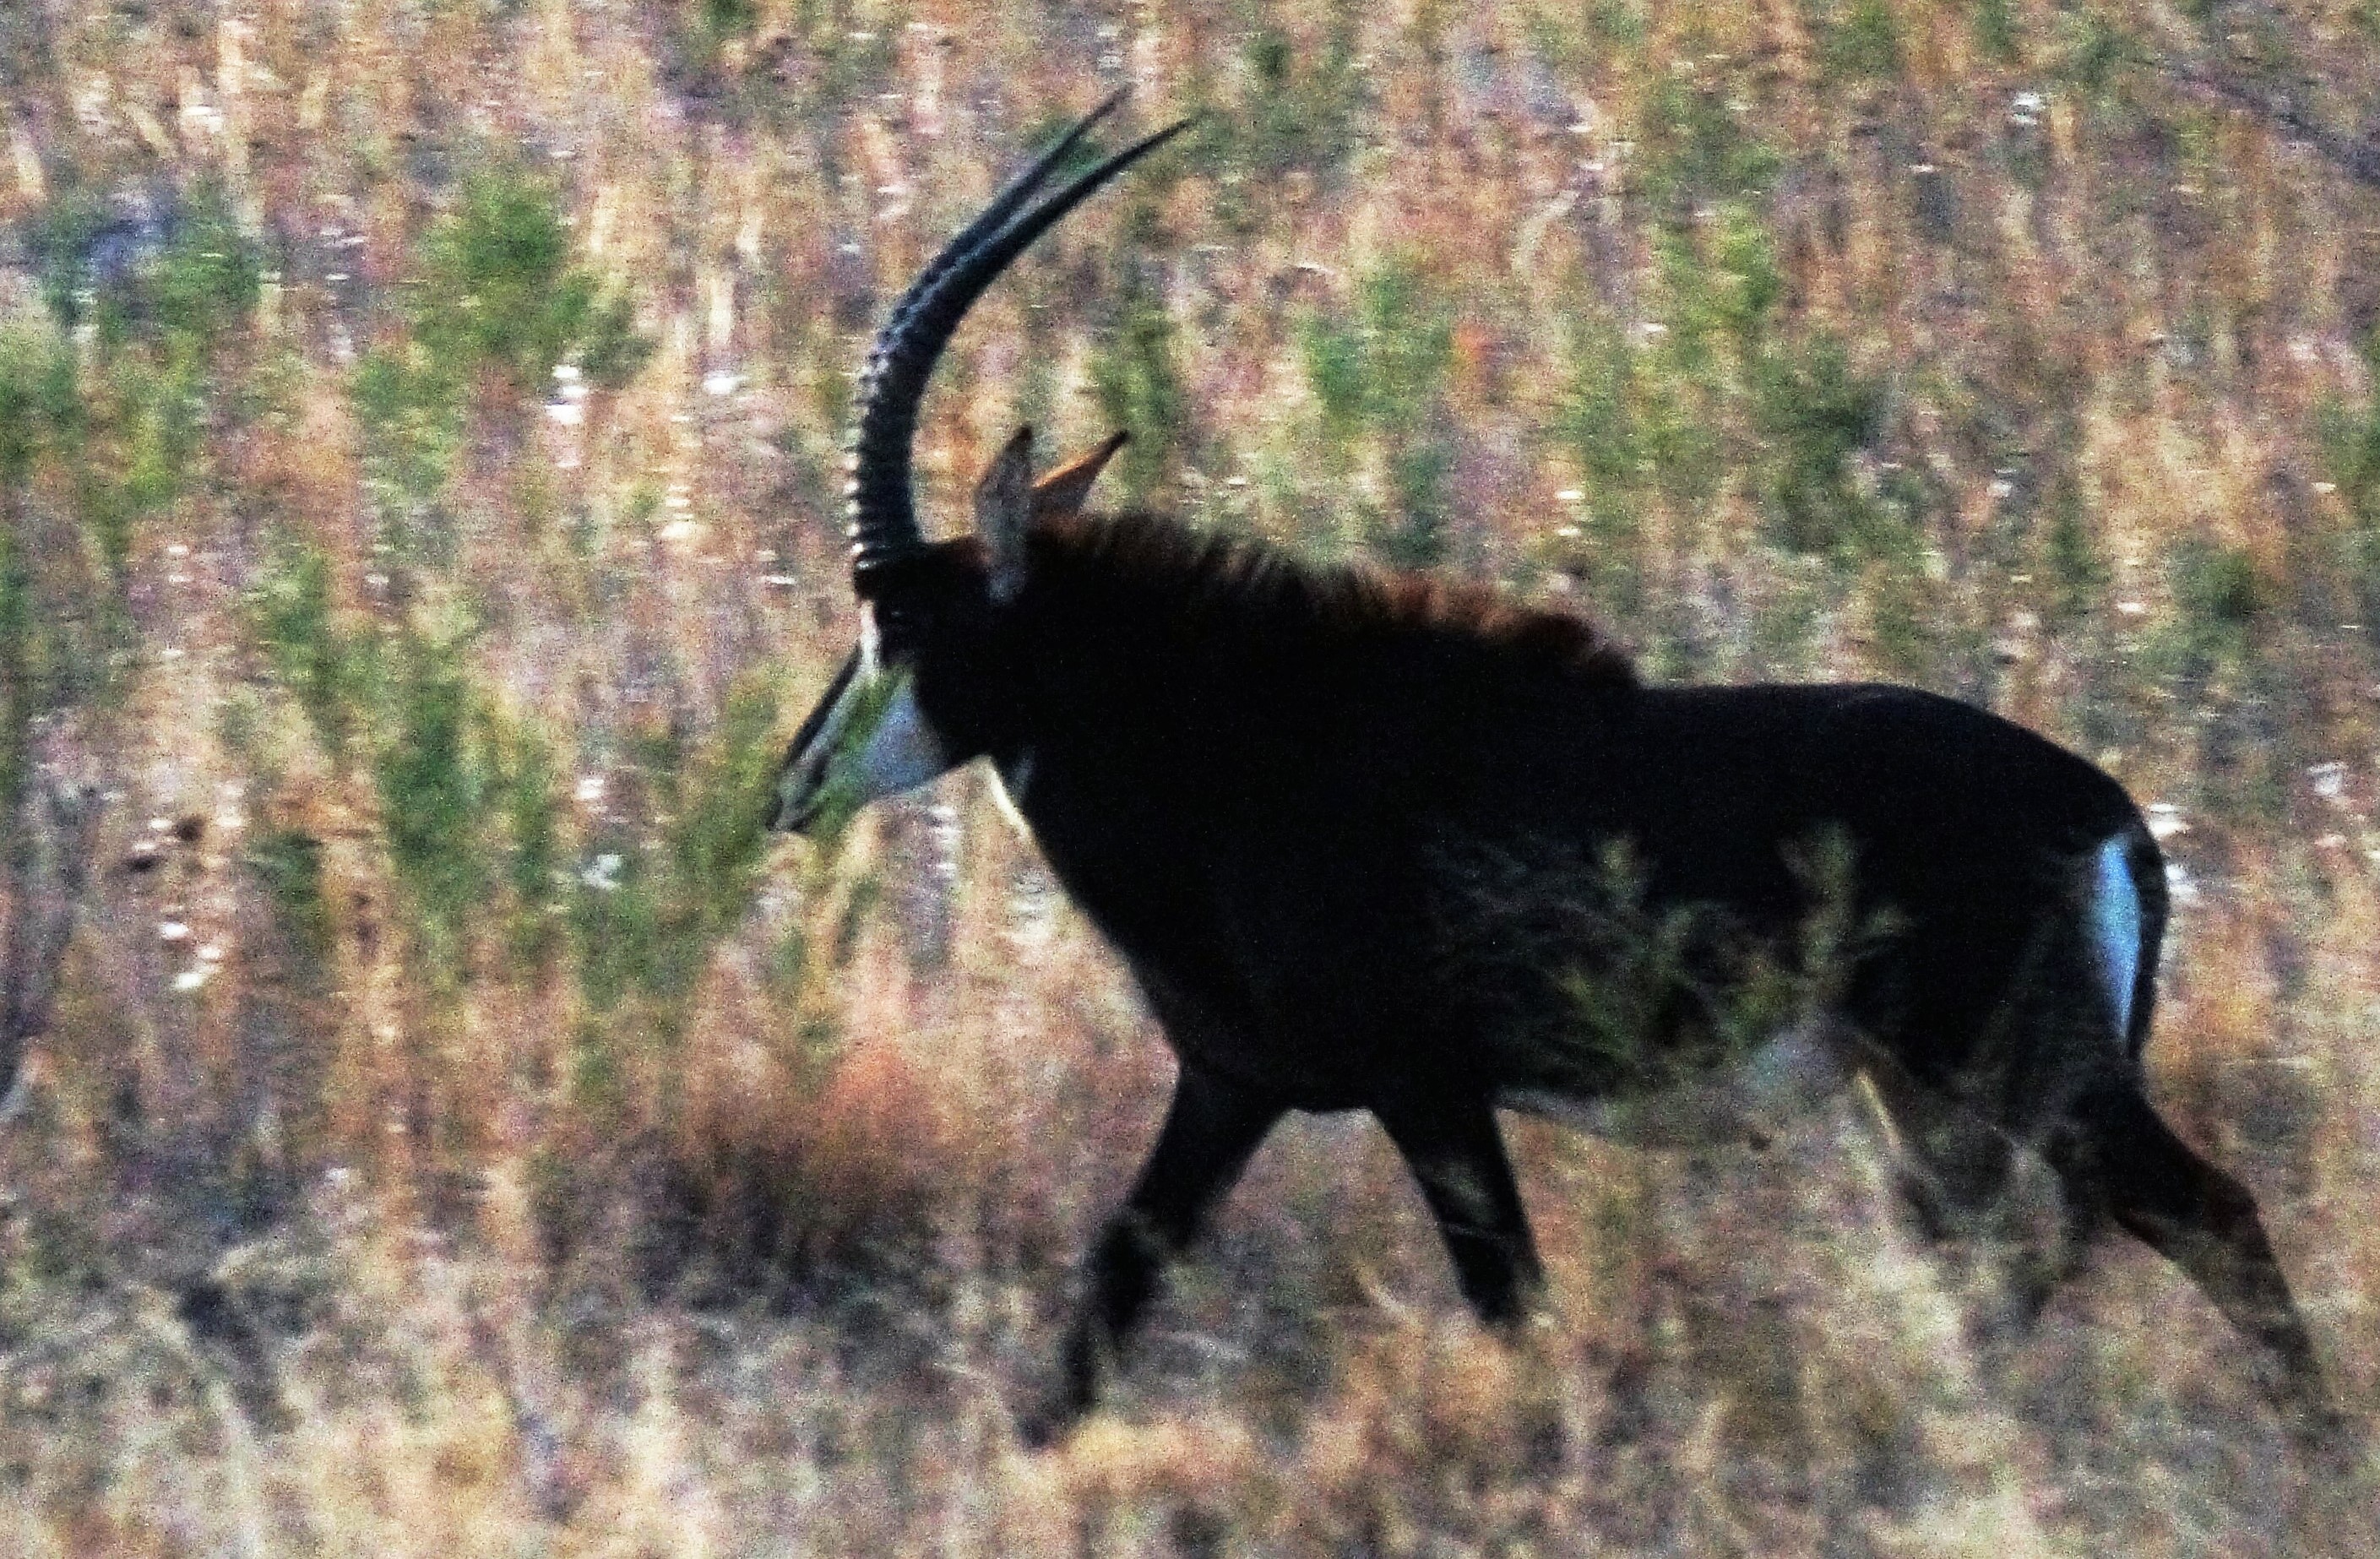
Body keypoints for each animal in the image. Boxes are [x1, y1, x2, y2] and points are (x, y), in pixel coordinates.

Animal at [773, 94, 2332, 1441]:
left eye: (894, 616)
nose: (791, 786)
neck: (1238, 744)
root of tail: (2111, 818)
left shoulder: (1428, 1089)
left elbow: (1507, 1302)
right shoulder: (1231, 1082)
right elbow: (1108, 1297)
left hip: (2022, 1073)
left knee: (2207, 1216)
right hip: (1924, 1100)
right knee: (2000, 1263)